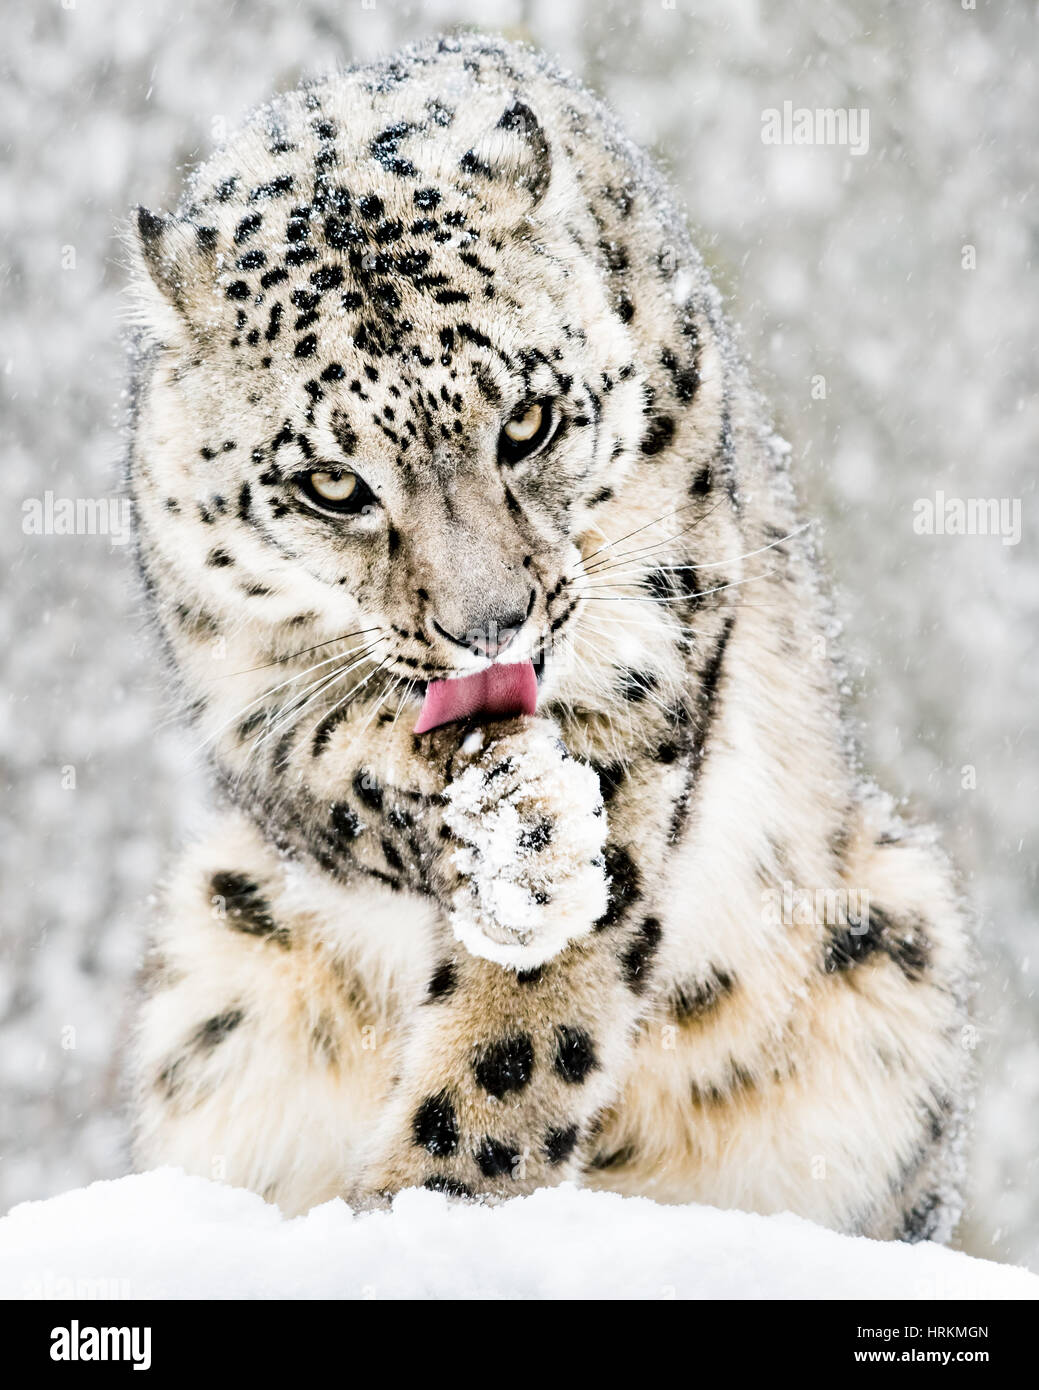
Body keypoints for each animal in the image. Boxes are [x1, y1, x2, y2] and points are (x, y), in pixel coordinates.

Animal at [126, 31, 972, 1240]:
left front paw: (437, 1197)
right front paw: (508, 824)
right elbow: (336, 768)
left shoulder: (652, 630)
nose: (491, 624)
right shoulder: (241, 684)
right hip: (220, 954)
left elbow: (532, 1014)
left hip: (893, 937)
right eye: (332, 483)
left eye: (526, 420)